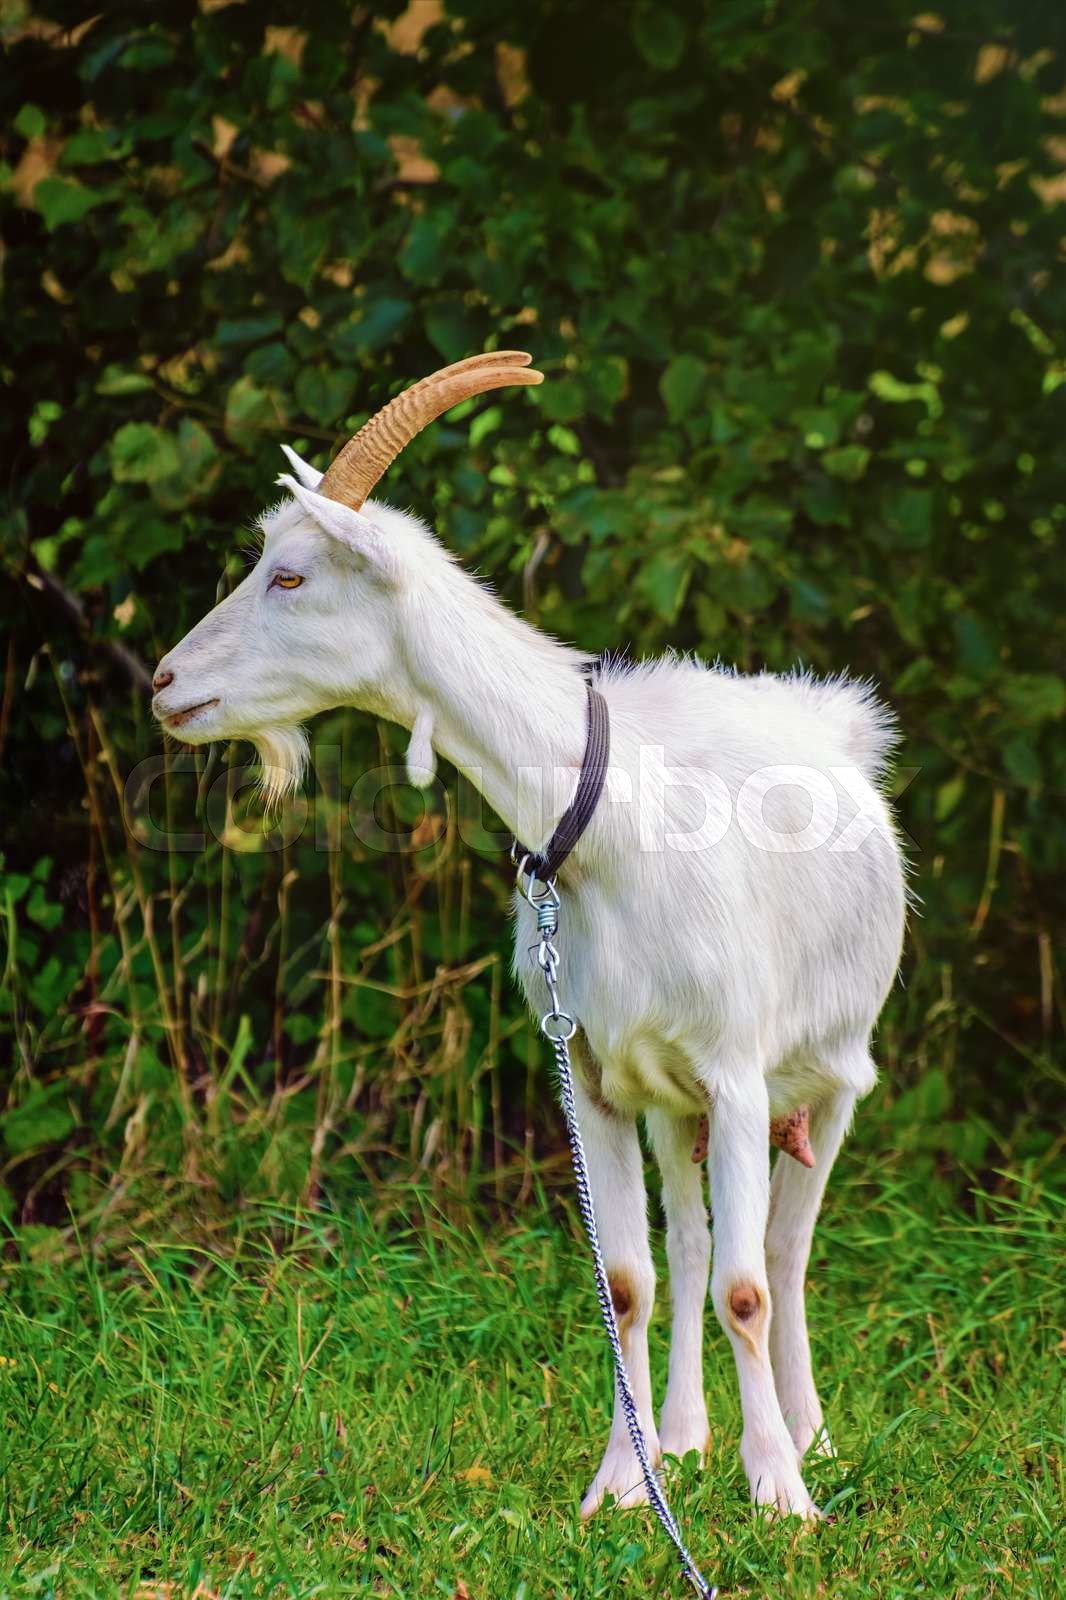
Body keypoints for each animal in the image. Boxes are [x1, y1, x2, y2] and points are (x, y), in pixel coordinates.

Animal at [150, 352, 906, 1521]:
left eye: (290, 577)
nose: (165, 684)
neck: (610, 824)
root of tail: (837, 725)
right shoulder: (593, 1071)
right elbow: (632, 1281)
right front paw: (623, 1486)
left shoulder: (736, 1069)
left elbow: (748, 1288)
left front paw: (781, 1494)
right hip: (670, 1102)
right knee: (695, 1243)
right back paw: (687, 1437)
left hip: (827, 1077)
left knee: (782, 1254)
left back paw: (811, 1438)